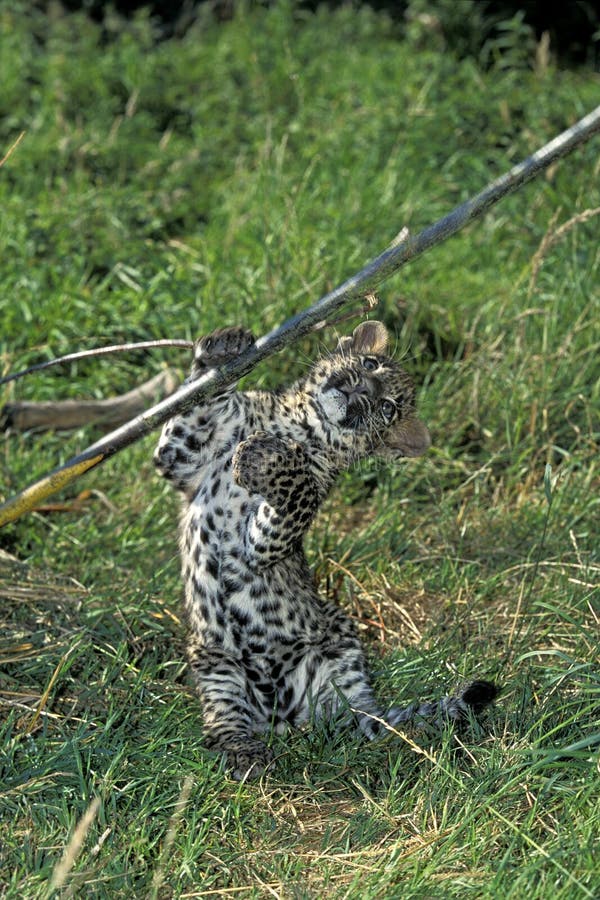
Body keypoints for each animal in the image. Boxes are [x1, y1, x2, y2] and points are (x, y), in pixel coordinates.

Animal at [154, 320, 497, 780]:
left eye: (387, 408)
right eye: (369, 364)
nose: (362, 389)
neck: (297, 424)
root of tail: (282, 716)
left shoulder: (268, 537)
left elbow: (295, 487)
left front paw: (264, 458)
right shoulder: (185, 459)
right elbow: (192, 412)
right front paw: (222, 348)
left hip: (338, 640)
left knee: (358, 718)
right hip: (215, 663)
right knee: (226, 719)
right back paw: (244, 751)